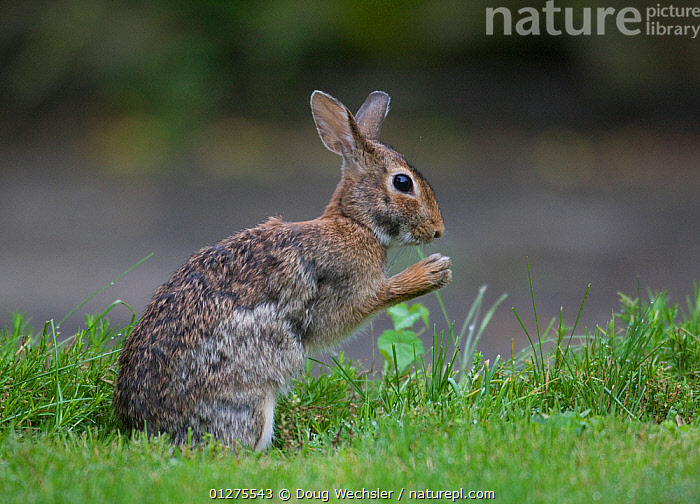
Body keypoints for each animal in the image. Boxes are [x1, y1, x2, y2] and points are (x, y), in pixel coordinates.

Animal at [113, 90, 452, 450]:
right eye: (402, 182)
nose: (438, 230)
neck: (355, 223)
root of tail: (147, 427)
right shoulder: (343, 289)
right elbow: (370, 301)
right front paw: (433, 271)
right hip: (248, 397)